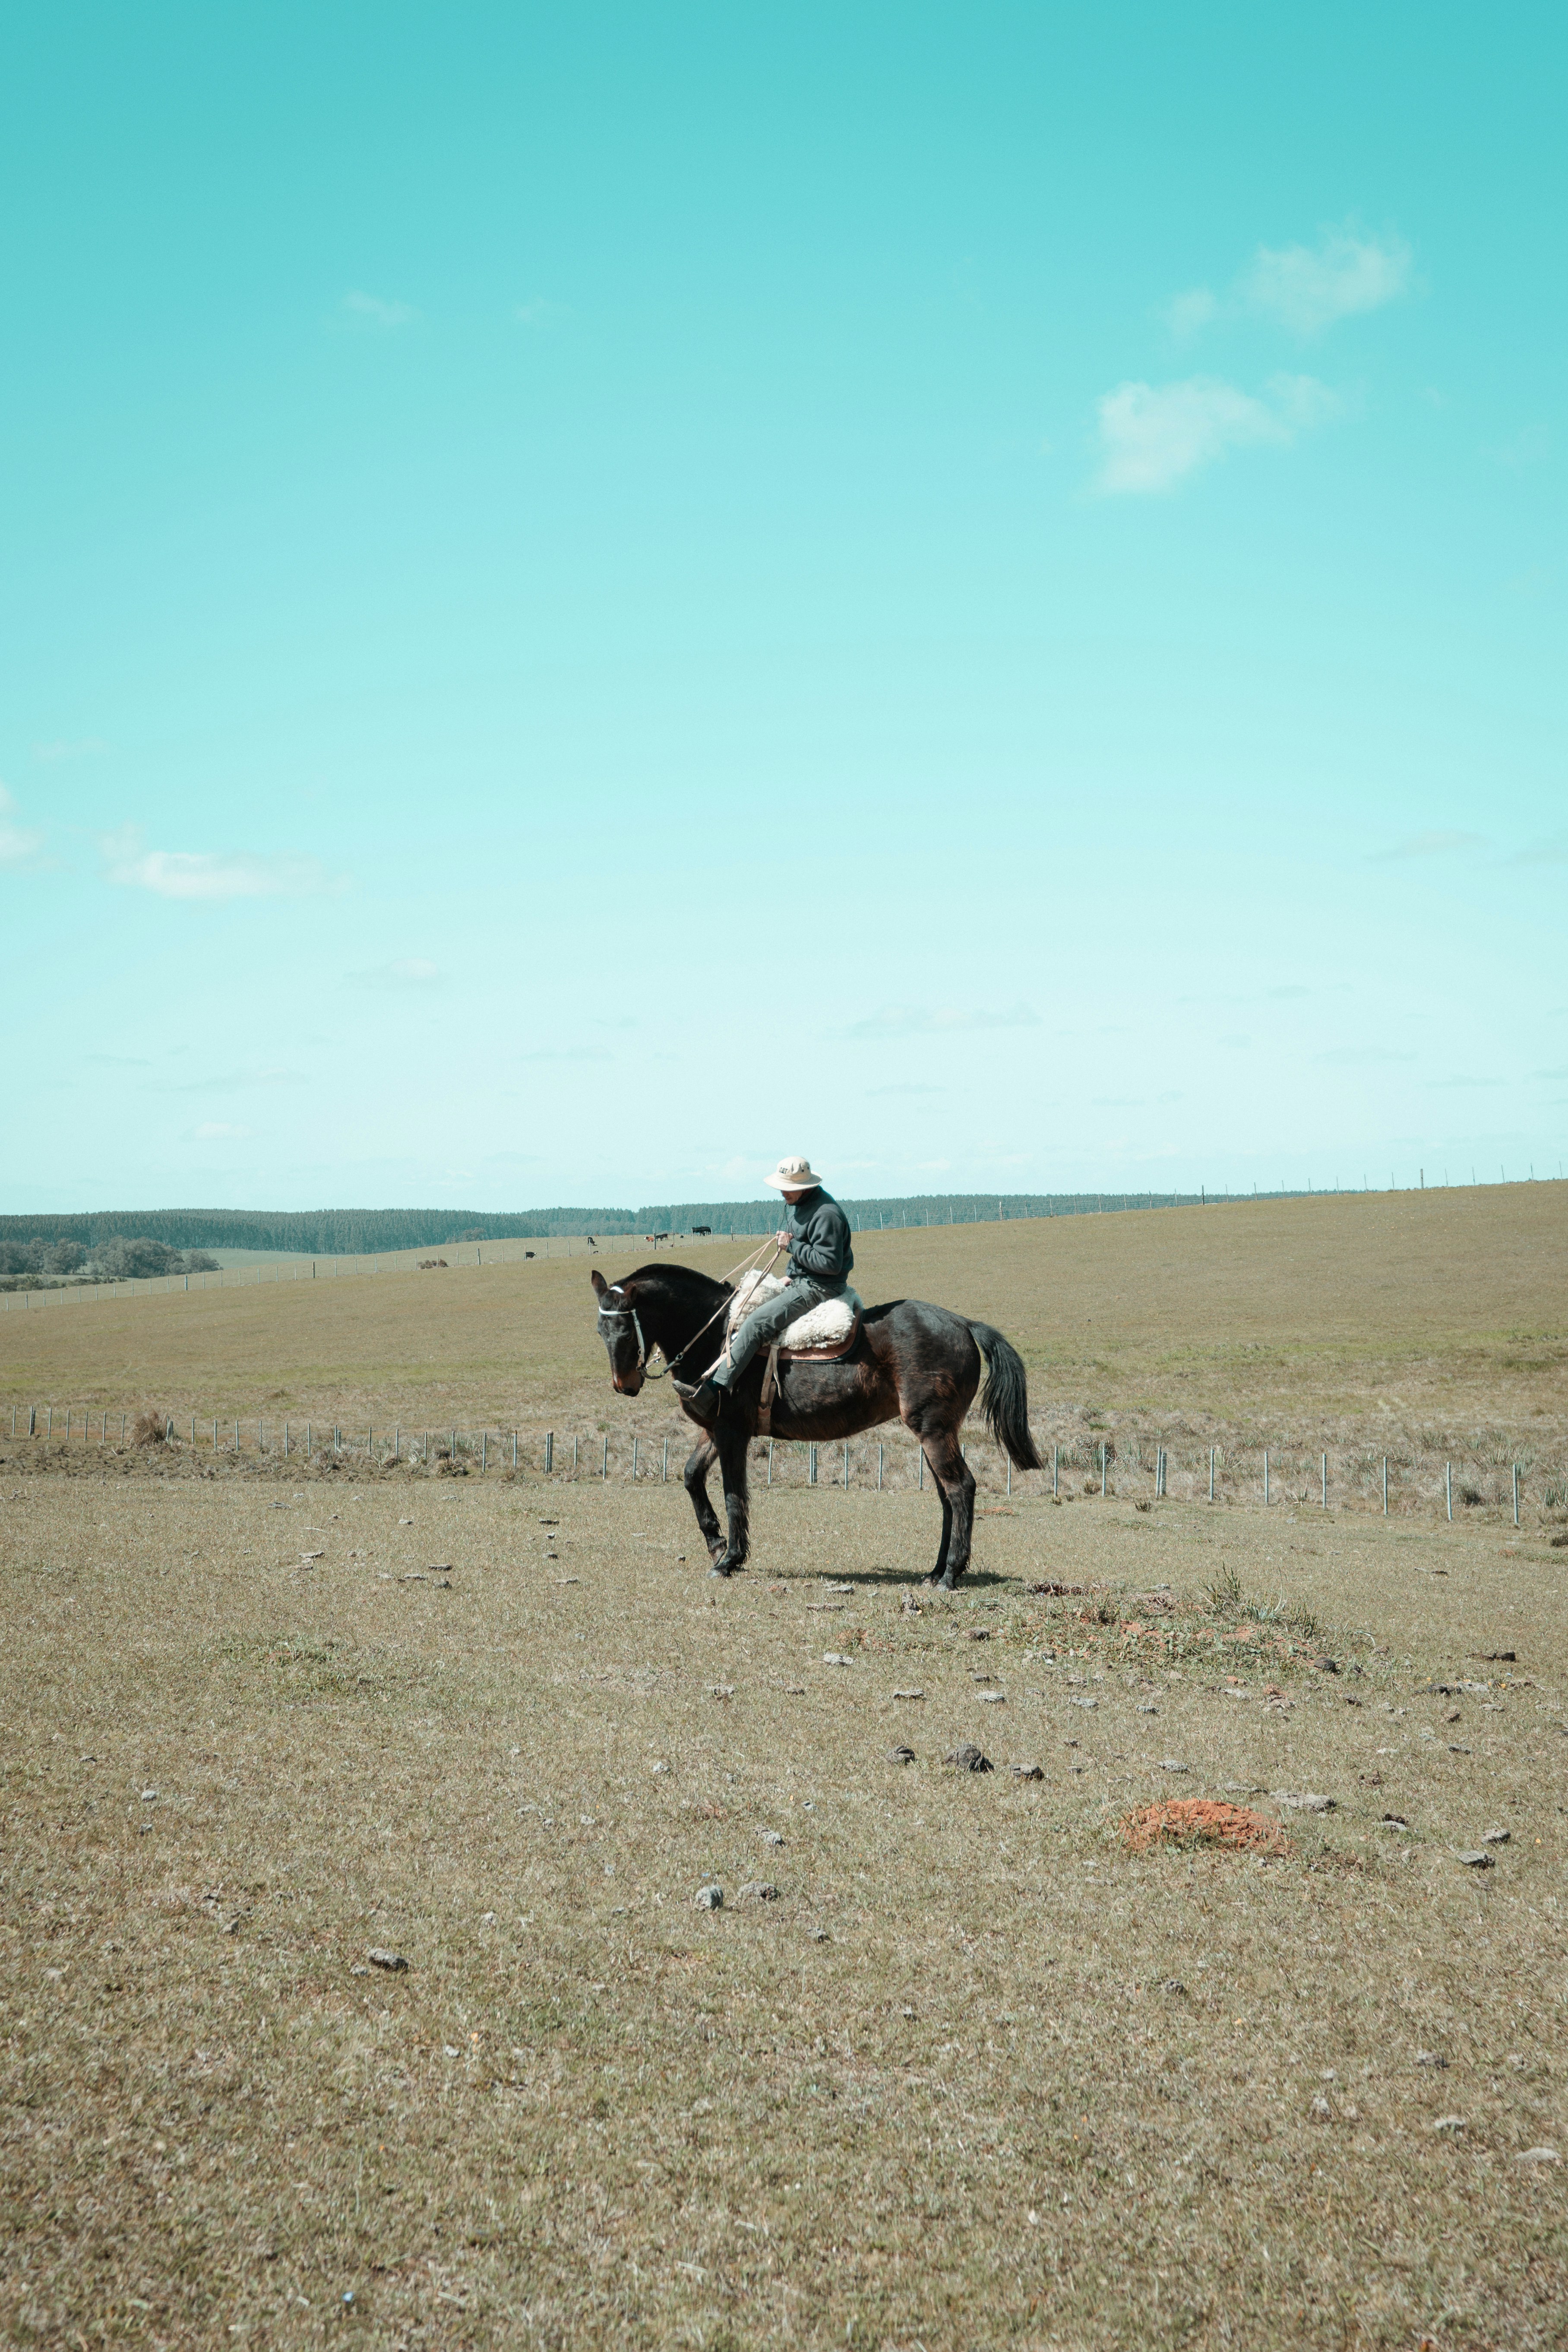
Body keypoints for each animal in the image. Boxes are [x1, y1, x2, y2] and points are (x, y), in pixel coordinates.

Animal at [591, 1261, 1040, 1585]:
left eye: (627, 1328)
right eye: (600, 1329)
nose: (624, 1385)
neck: (717, 1337)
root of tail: (963, 1323)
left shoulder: (732, 1433)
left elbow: (735, 1495)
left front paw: (730, 1559)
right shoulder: (714, 1432)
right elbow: (690, 1477)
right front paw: (717, 1544)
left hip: (934, 1431)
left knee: (961, 1488)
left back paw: (950, 1573)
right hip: (936, 1434)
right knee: (948, 1496)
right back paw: (934, 1571)